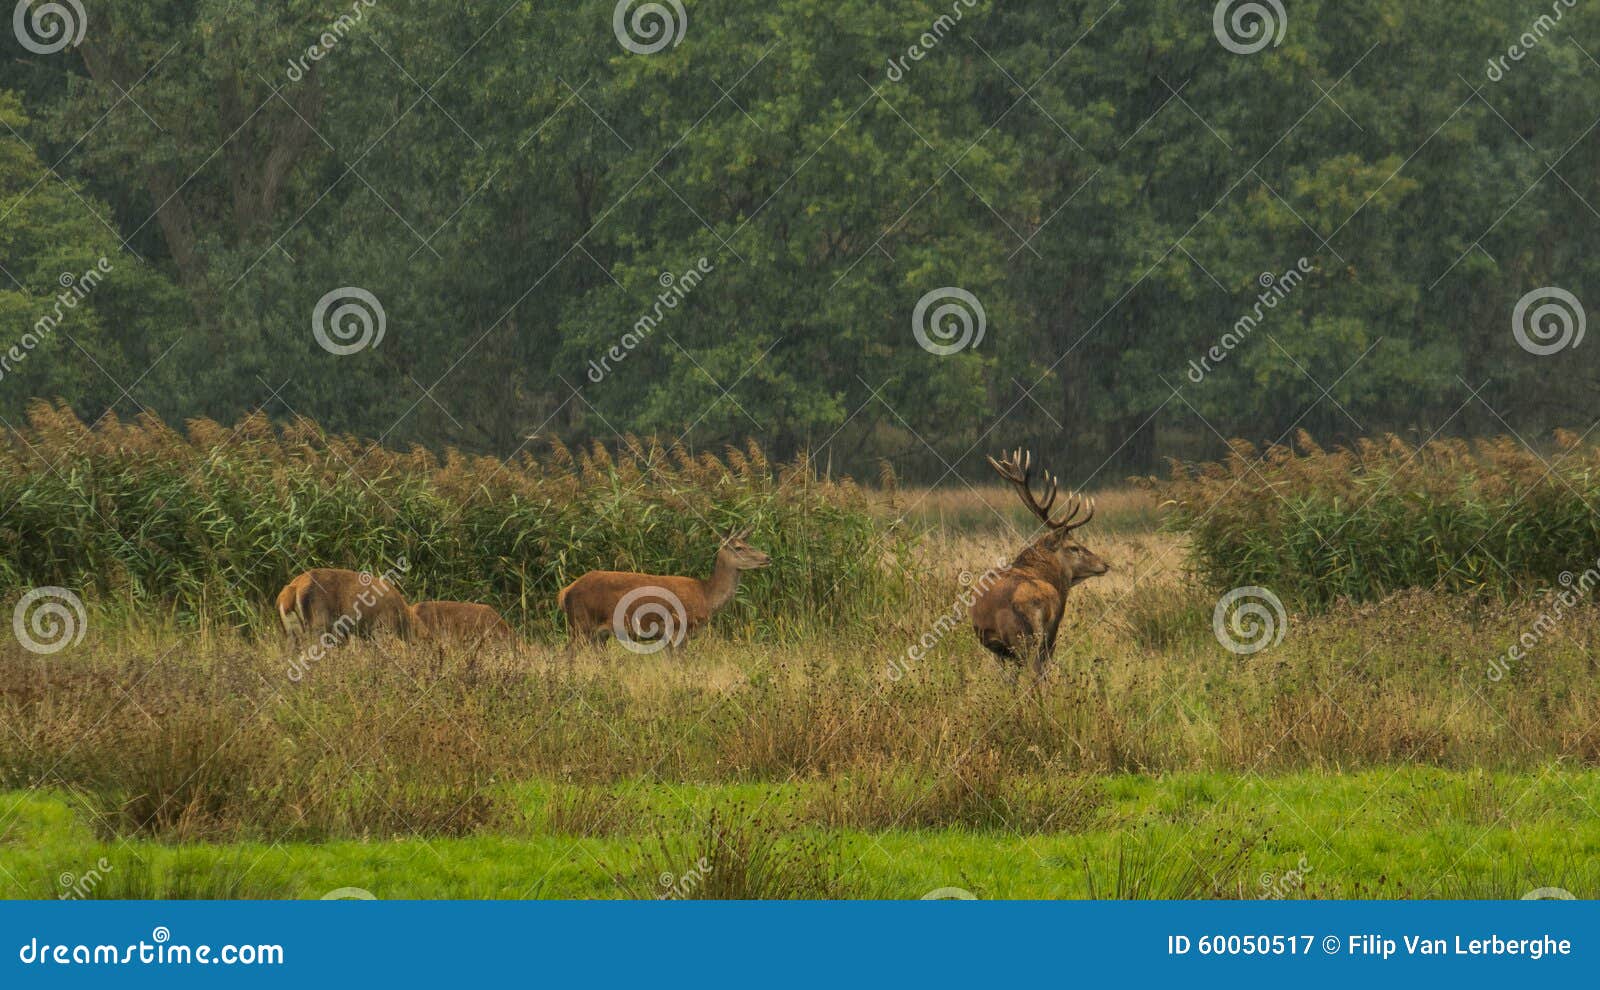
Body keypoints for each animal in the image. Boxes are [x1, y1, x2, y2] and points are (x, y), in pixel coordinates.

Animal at [557, 531, 770, 654]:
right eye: (739, 548)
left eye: (749, 544)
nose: (767, 557)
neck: (706, 596)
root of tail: (565, 591)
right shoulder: (678, 628)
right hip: (580, 624)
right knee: (568, 652)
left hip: (598, 634)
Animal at [970, 449, 1108, 680]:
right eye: (1074, 547)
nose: (1104, 564)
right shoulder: (1055, 626)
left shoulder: (996, 649)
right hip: (1033, 638)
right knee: (1037, 673)